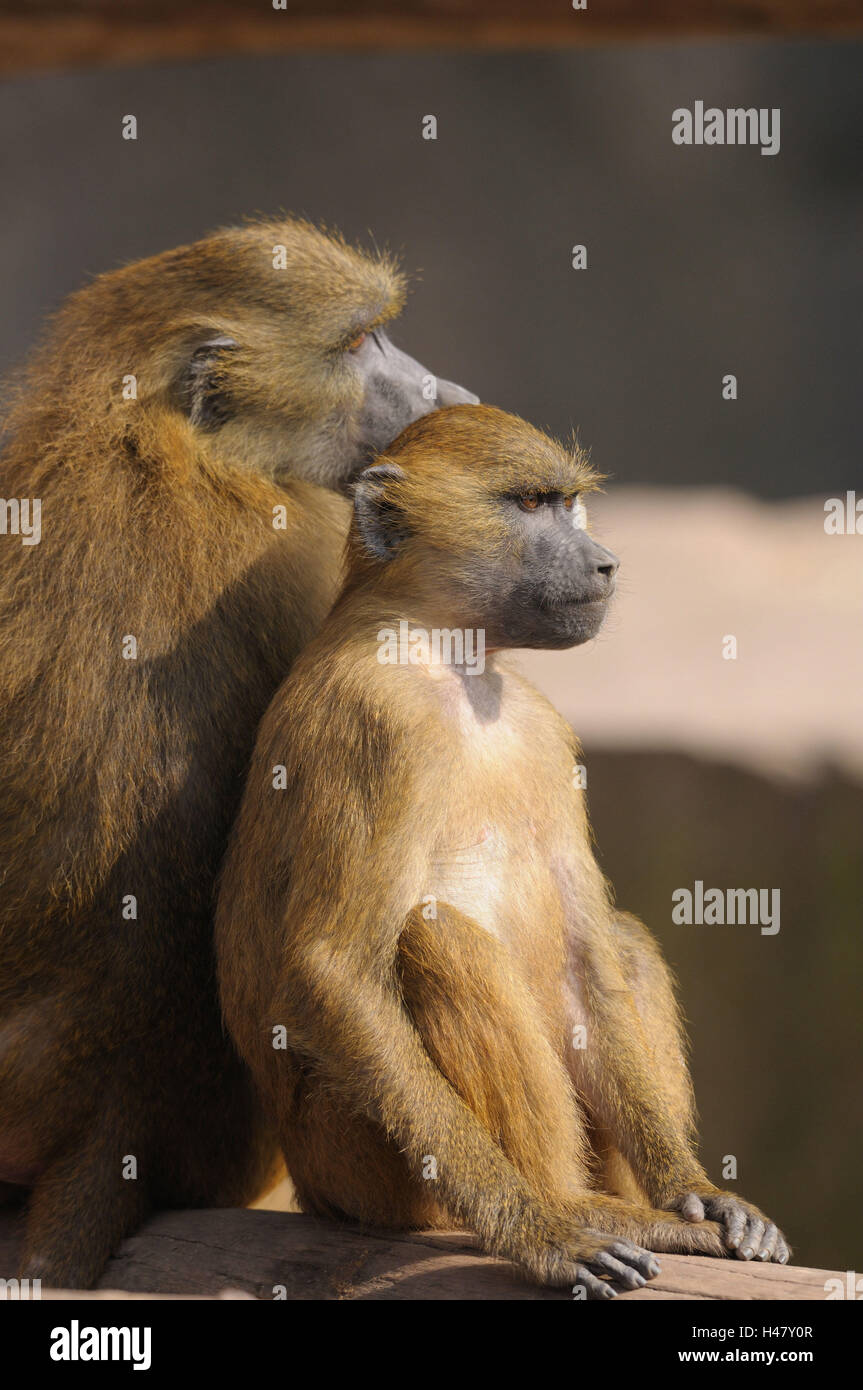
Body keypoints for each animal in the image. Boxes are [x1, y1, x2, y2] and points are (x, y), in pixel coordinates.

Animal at [215, 403, 790, 1296]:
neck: (445, 657)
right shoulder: (376, 720)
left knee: (619, 943)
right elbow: (331, 972)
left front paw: (700, 1194)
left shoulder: (543, 732)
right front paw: (540, 1232)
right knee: (435, 938)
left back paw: (649, 1207)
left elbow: (587, 957)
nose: (606, 562)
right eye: (526, 502)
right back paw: (574, 1209)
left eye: (567, 502)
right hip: (361, 1165)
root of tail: (309, 1186)